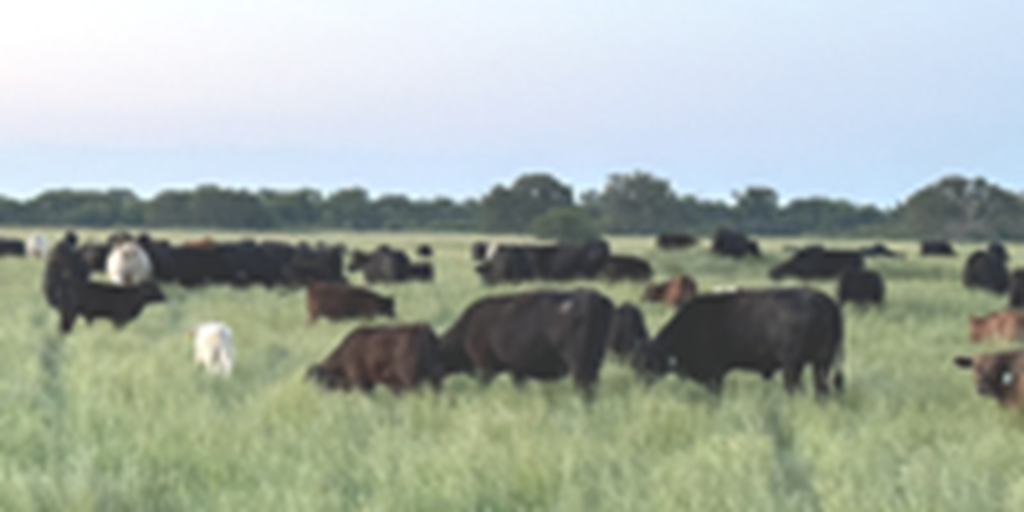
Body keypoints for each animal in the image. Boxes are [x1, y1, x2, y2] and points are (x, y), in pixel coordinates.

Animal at [306, 323, 444, 393]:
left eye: (321, 381)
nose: (321, 394)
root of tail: (422, 329)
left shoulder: (362, 382)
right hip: (435, 378)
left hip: (412, 380)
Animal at [634, 287, 844, 395]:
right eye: (637, 364)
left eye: (649, 364)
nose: (639, 387)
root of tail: (824, 300)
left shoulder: (715, 375)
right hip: (819, 365)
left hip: (795, 366)